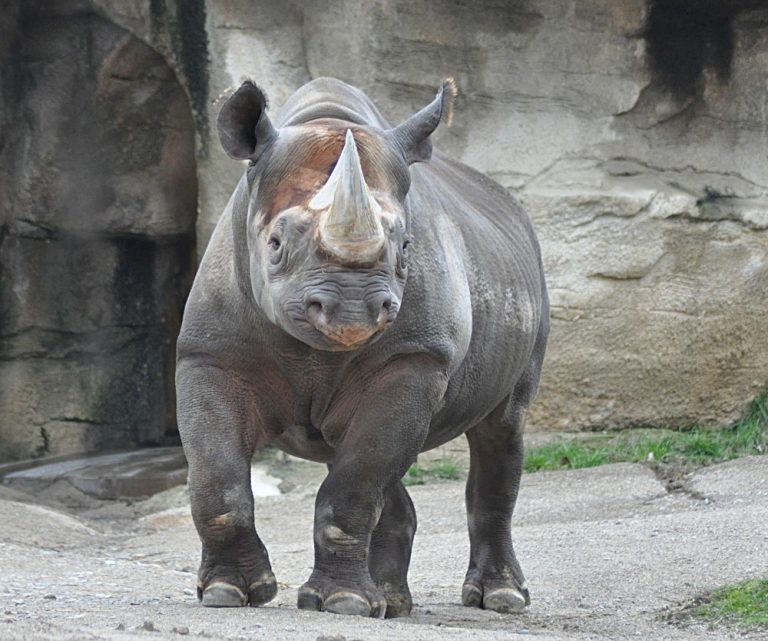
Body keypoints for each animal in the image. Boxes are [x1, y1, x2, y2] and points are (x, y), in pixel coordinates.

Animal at [176, 77, 549, 619]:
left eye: (407, 248)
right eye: (274, 245)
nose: (353, 309)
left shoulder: (415, 358)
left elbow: (355, 484)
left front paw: (342, 603)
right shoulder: (210, 354)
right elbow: (216, 478)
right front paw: (230, 593)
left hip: (529, 282)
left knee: (501, 429)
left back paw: (498, 598)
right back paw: (392, 602)